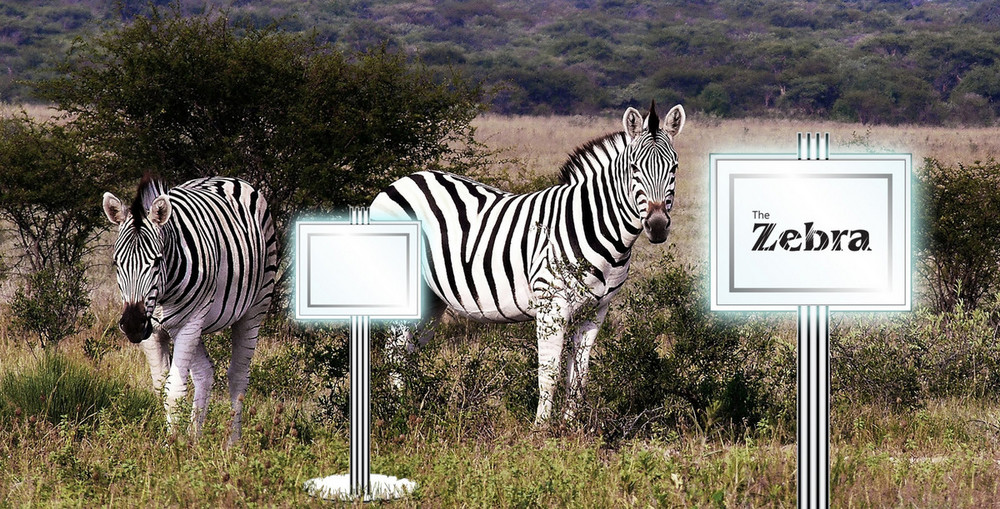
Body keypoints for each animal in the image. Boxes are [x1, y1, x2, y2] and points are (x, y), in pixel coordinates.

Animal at [102, 175, 277, 444]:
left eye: (157, 261)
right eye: (116, 262)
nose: (131, 325)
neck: (162, 297)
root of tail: (226, 178)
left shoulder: (189, 322)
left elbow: (174, 390)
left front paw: (173, 448)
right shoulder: (153, 331)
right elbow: (160, 387)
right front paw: (175, 441)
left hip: (254, 306)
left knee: (238, 375)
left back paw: (232, 444)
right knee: (205, 372)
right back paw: (195, 437)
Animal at [370, 101, 685, 424]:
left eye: (674, 168)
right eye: (634, 168)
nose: (658, 226)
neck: (595, 226)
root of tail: (402, 180)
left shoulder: (597, 310)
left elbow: (578, 376)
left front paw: (570, 427)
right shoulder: (551, 304)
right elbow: (549, 373)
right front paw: (541, 429)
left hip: (431, 296)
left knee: (410, 348)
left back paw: (414, 410)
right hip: (398, 283)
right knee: (395, 351)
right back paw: (396, 414)